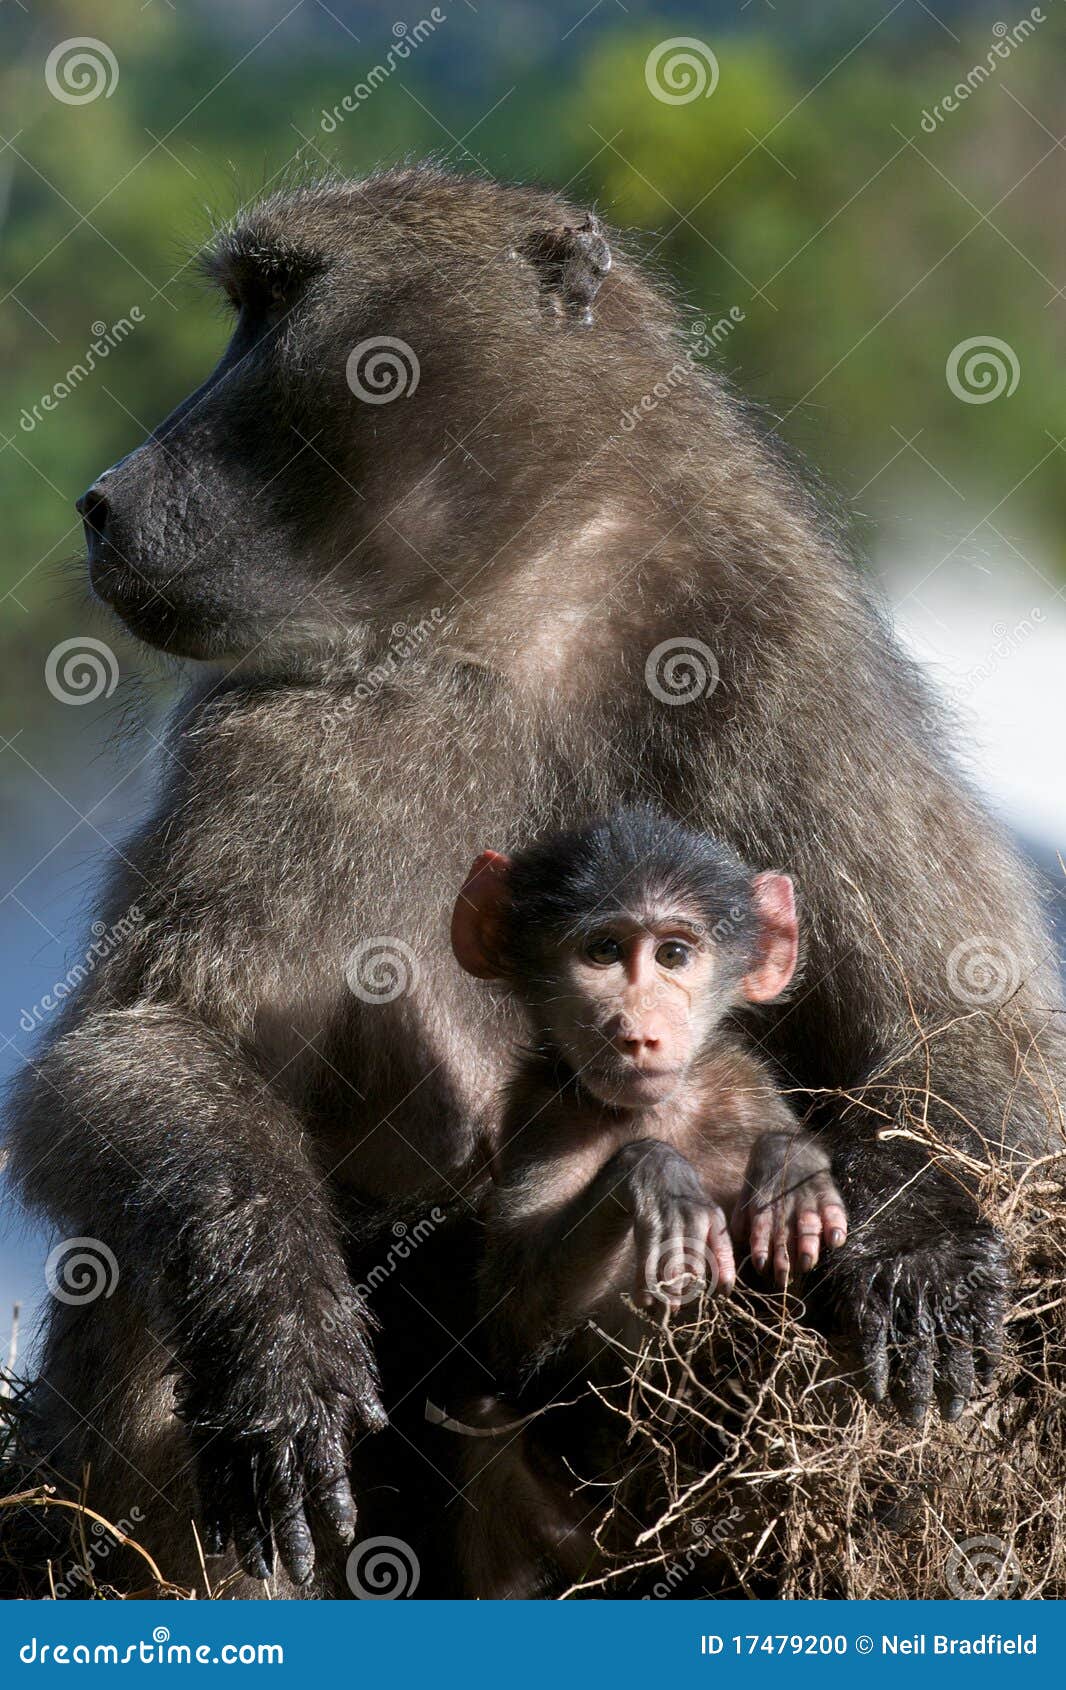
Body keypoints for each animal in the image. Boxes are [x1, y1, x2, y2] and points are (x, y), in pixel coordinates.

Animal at [443, 806, 848, 1597]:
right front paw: (656, 1176)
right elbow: (509, 1335)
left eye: (674, 955)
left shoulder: (743, 1087)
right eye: (603, 951)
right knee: (488, 1435)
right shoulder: (542, 1121)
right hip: (600, 1549)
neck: (654, 1111)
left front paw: (791, 1171)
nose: (638, 1033)